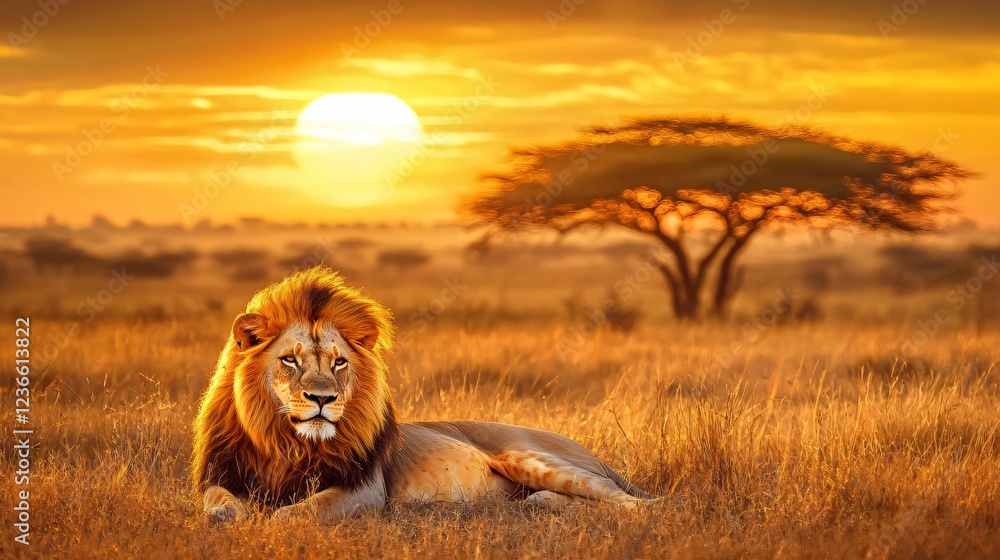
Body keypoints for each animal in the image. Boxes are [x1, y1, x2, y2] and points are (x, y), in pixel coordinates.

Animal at [192, 267, 654, 522]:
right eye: (290, 359)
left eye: (339, 363)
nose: (322, 399)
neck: (288, 443)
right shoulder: (220, 475)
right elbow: (217, 503)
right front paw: (232, 516)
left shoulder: (365, 490)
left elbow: (300, 513)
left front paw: (269, 520)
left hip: (535, 458)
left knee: (642, 504)